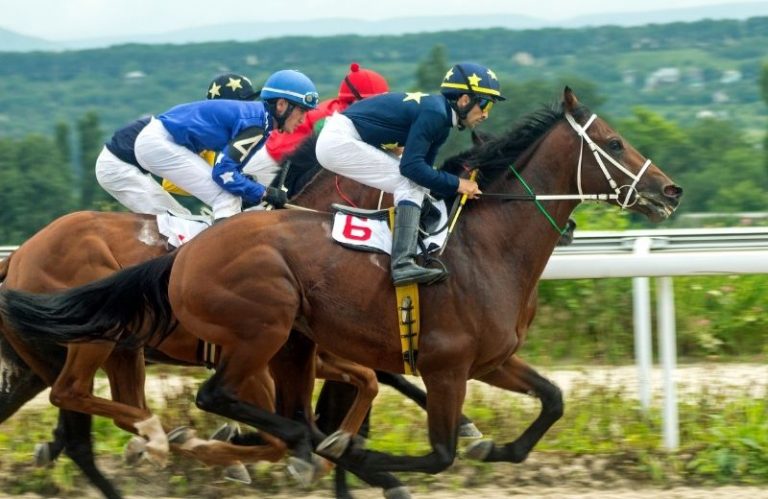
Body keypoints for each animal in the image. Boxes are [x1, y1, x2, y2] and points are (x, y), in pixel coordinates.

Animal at [0, 87, 682, 481]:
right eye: (615, 141)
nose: (670, 190)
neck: (484, 247)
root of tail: (21, 254)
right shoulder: (444, 365)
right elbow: (432, 449)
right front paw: (357, 453)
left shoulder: (488, 360)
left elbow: (552, 401)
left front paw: (487, 446)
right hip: (224, 333)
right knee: (113, 401)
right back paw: (174, 440)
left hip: (130, 349)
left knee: (76, 409)